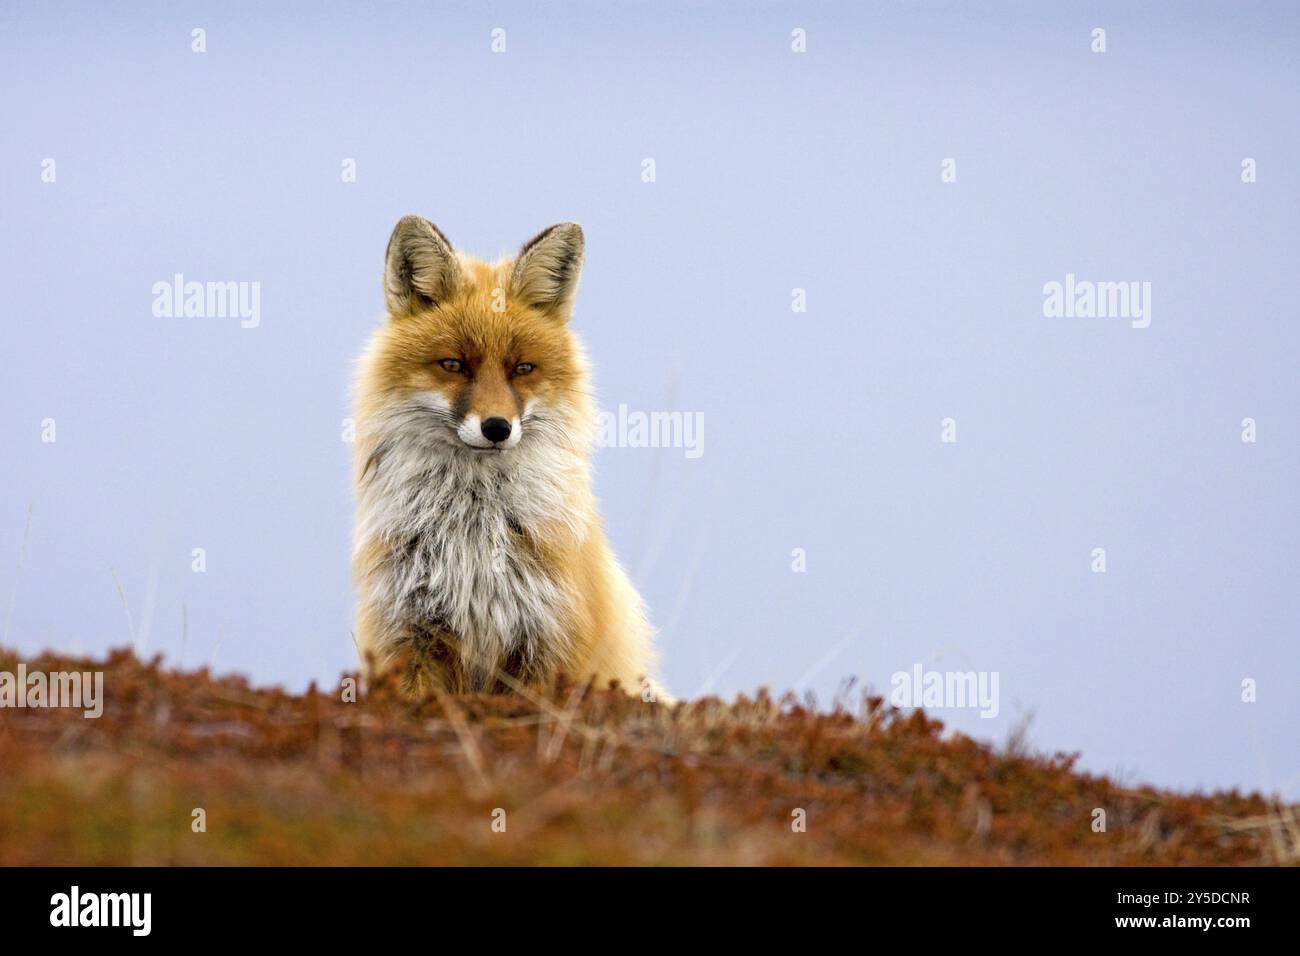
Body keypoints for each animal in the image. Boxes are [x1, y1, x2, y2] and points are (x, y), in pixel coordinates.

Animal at [351, 215, 666, 701]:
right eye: (454, 364)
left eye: (523, 369)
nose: (497, 427)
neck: (473, 536)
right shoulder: (410, 633)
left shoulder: (547, 642)